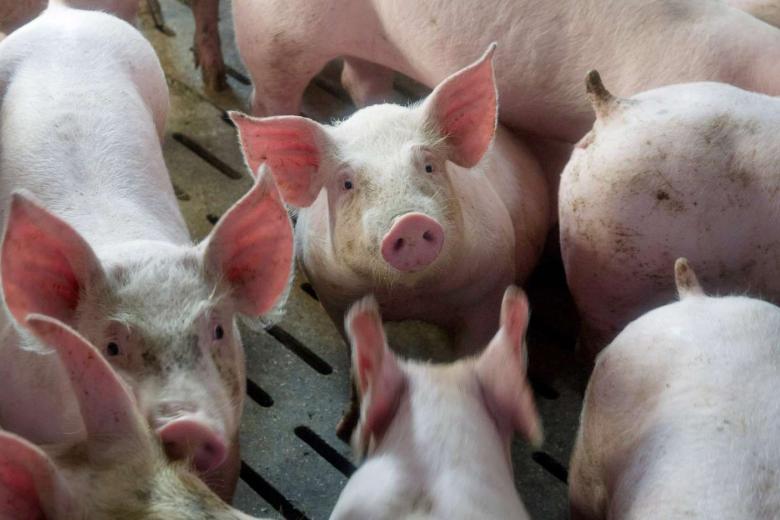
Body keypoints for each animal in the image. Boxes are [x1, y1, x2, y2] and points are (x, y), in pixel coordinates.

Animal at [230, 45, 550, 354]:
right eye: (347, 183)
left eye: (429, 166)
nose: (409, 221)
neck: (413, 295)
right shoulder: (335, 296)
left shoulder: (489, 287)